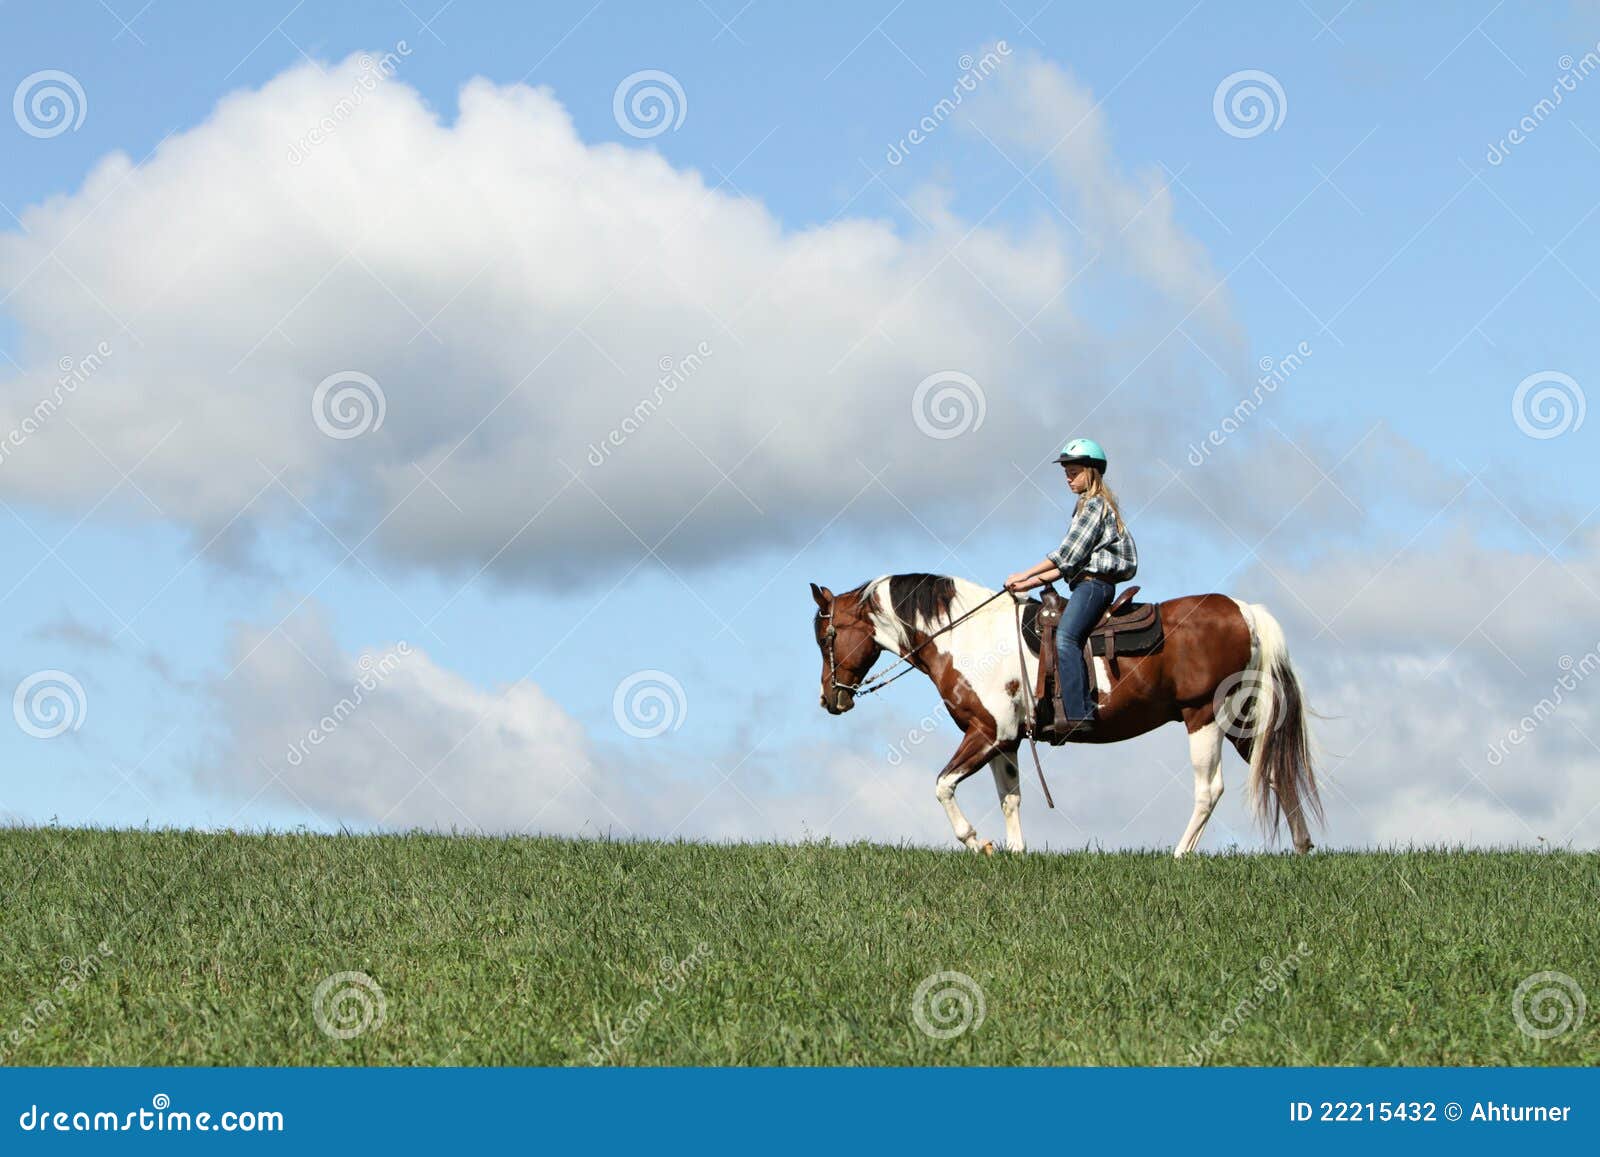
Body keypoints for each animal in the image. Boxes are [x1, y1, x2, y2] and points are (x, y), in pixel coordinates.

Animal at [810, 573, 1321, 858]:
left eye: (825, 636)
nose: (830, 699)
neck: (966, 637)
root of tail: (1245, 612)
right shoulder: (1008, 741)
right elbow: (1011, 797)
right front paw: (1015, 852)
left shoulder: (986, 732)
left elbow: (942, 786)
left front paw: (980, 843)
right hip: (1241, 720)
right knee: (1275, 771)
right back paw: (1301, 848)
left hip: (1204, 716)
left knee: (1209, 789)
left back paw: (1179, 855)